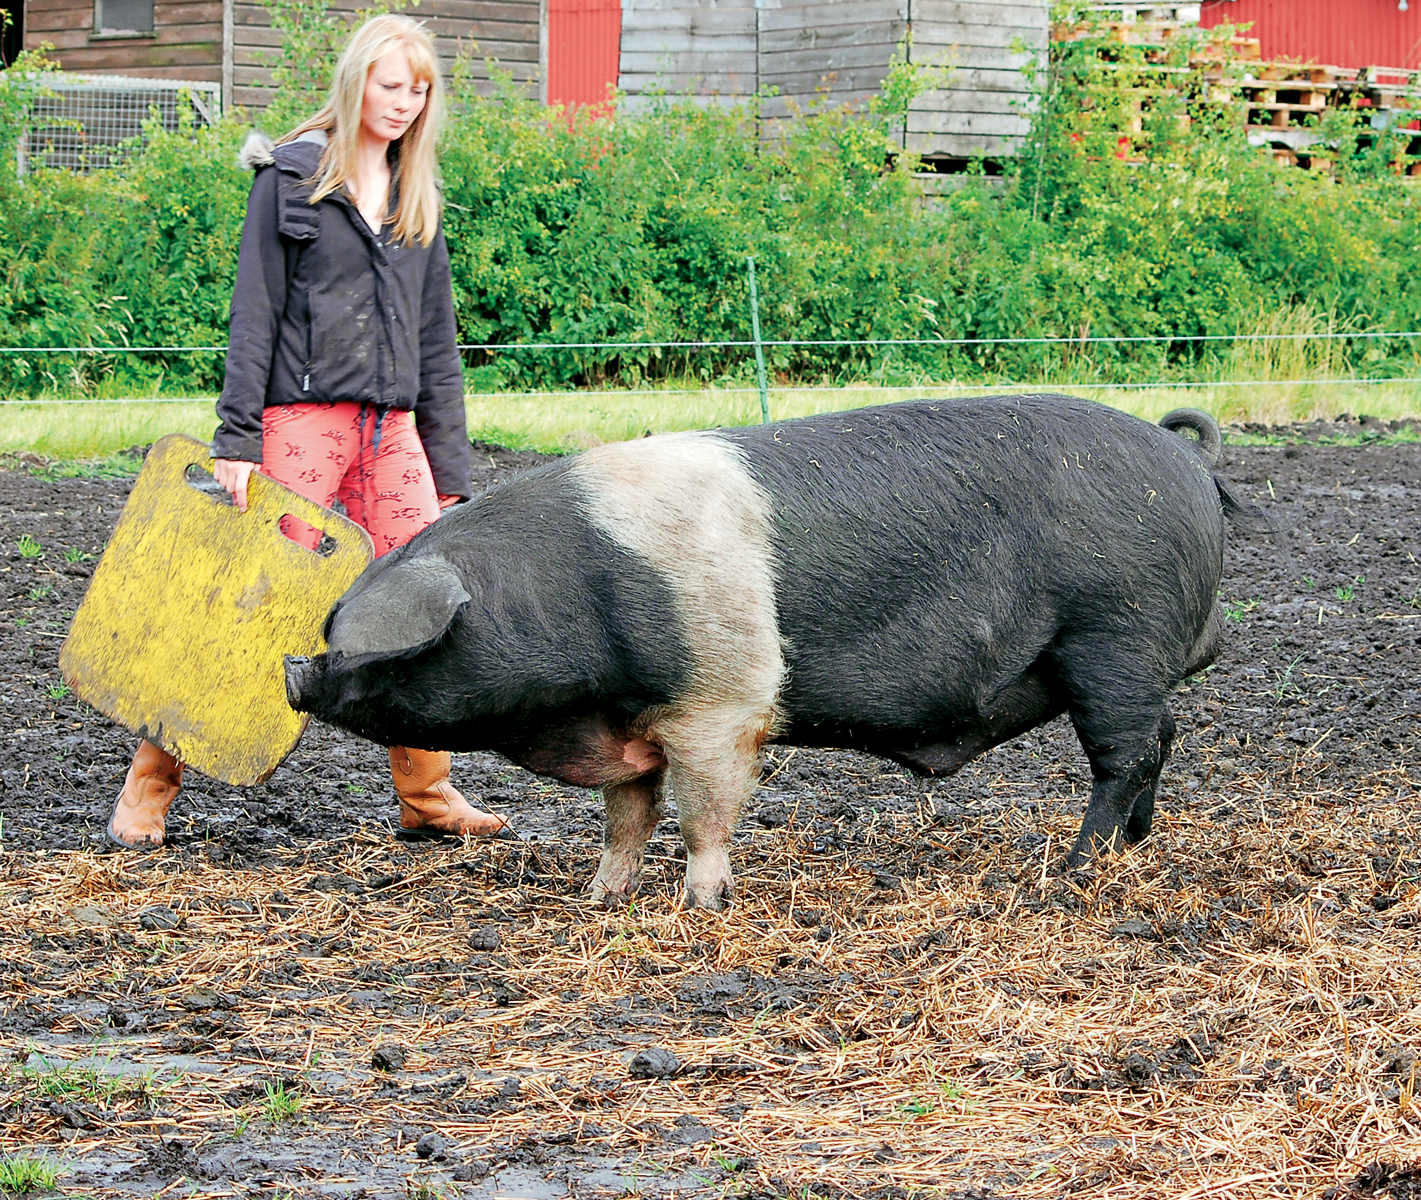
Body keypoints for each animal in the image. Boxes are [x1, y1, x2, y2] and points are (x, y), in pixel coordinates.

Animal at [285, 394, 1265, 908]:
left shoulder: (721, 705)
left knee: (1125, 752)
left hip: (1116, 633)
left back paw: (1072, 870)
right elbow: (626, 817)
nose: (293, 670)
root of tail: (1187, 461)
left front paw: (697, 906)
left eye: (348, 638)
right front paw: (602, 903)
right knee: (1162, 741)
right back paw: (1131, 849)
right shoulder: (632, 725)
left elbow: (702, 813)